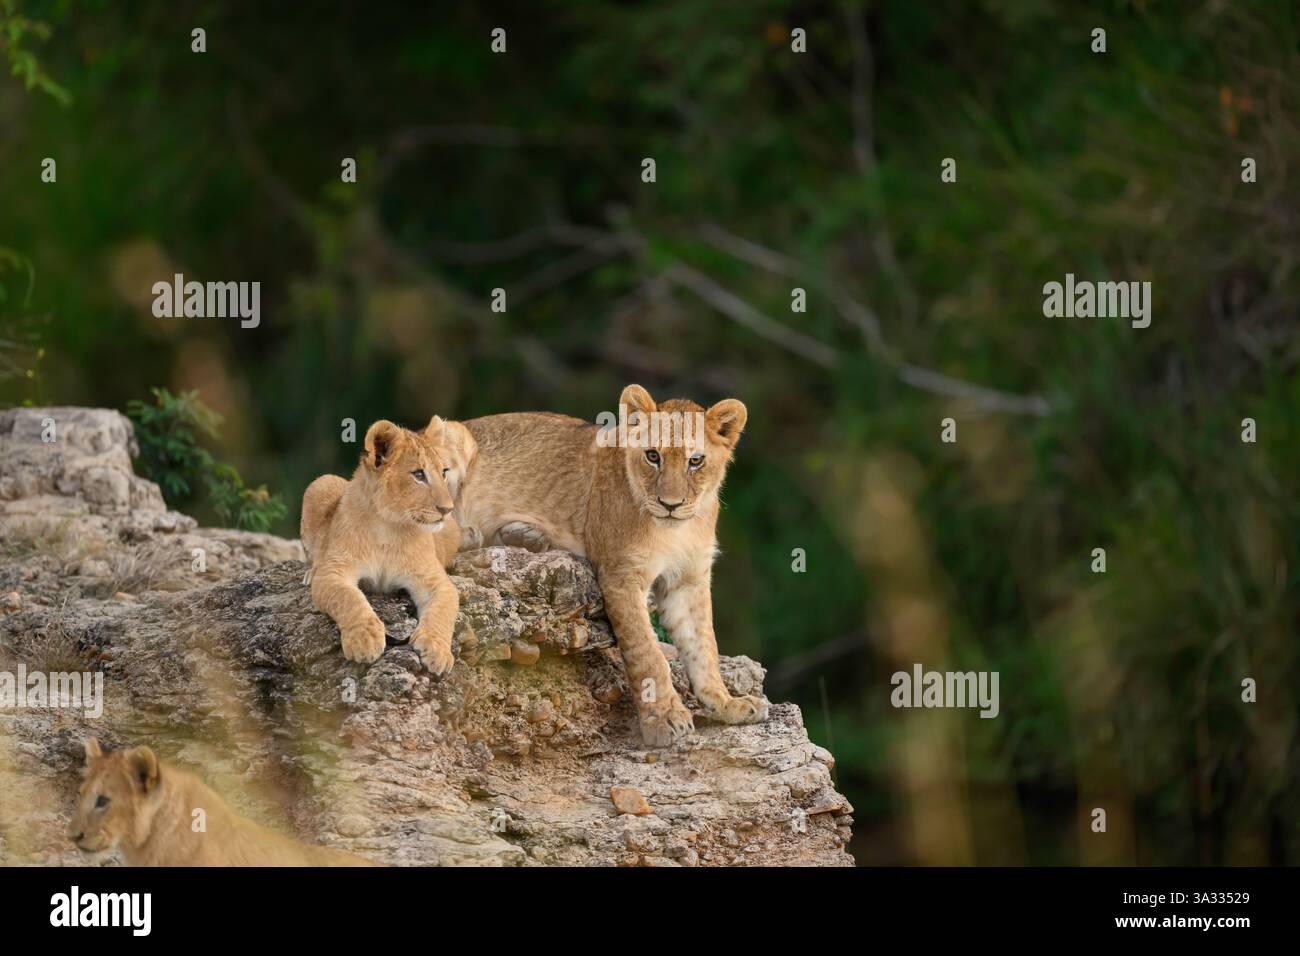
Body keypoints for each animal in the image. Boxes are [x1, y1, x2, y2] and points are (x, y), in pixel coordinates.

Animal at [300, 417, 462, 674]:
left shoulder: (436, 581)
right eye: (418, 474)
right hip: (322, 483)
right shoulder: (333, 572)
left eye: (443, 472)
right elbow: (348, 598)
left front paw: (437, 650)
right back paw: (311, 571)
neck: (389, 528)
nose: (447, 509)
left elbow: (444, 608)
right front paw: (364, 640)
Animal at [442, 384, 769, 747]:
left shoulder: (689, 581)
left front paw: (726, 703)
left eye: (695, 461)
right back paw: (471, 532)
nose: (670, 505)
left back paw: (525, 536)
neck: (675, 531)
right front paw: (664, 718)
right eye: (652, 456)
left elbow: (704, 647)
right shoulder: (620, 575)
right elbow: (648, 654)